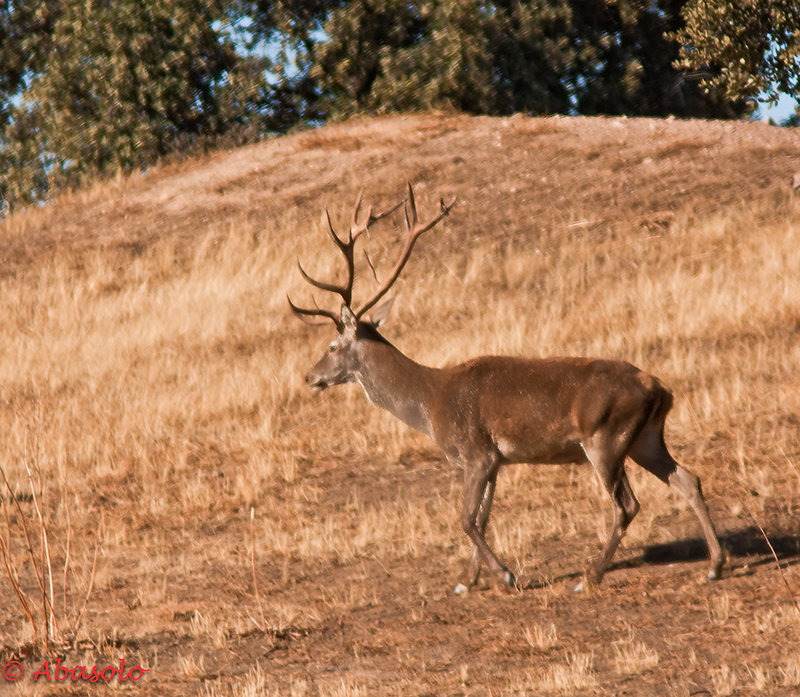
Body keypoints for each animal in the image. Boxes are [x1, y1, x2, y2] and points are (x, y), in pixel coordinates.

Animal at [288, 183, 725, 594]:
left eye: (331, 346)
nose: (309, 376)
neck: (429, 403)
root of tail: (661, 390)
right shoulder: (496, 461)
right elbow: (483, 516)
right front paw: (468, 580)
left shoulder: (475, 452)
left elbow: (465, 518)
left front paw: (504, 575)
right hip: (645, 439)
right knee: (689, 480)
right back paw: (714, 565)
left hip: (606, 437)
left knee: (627, 505)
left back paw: (591, 575)